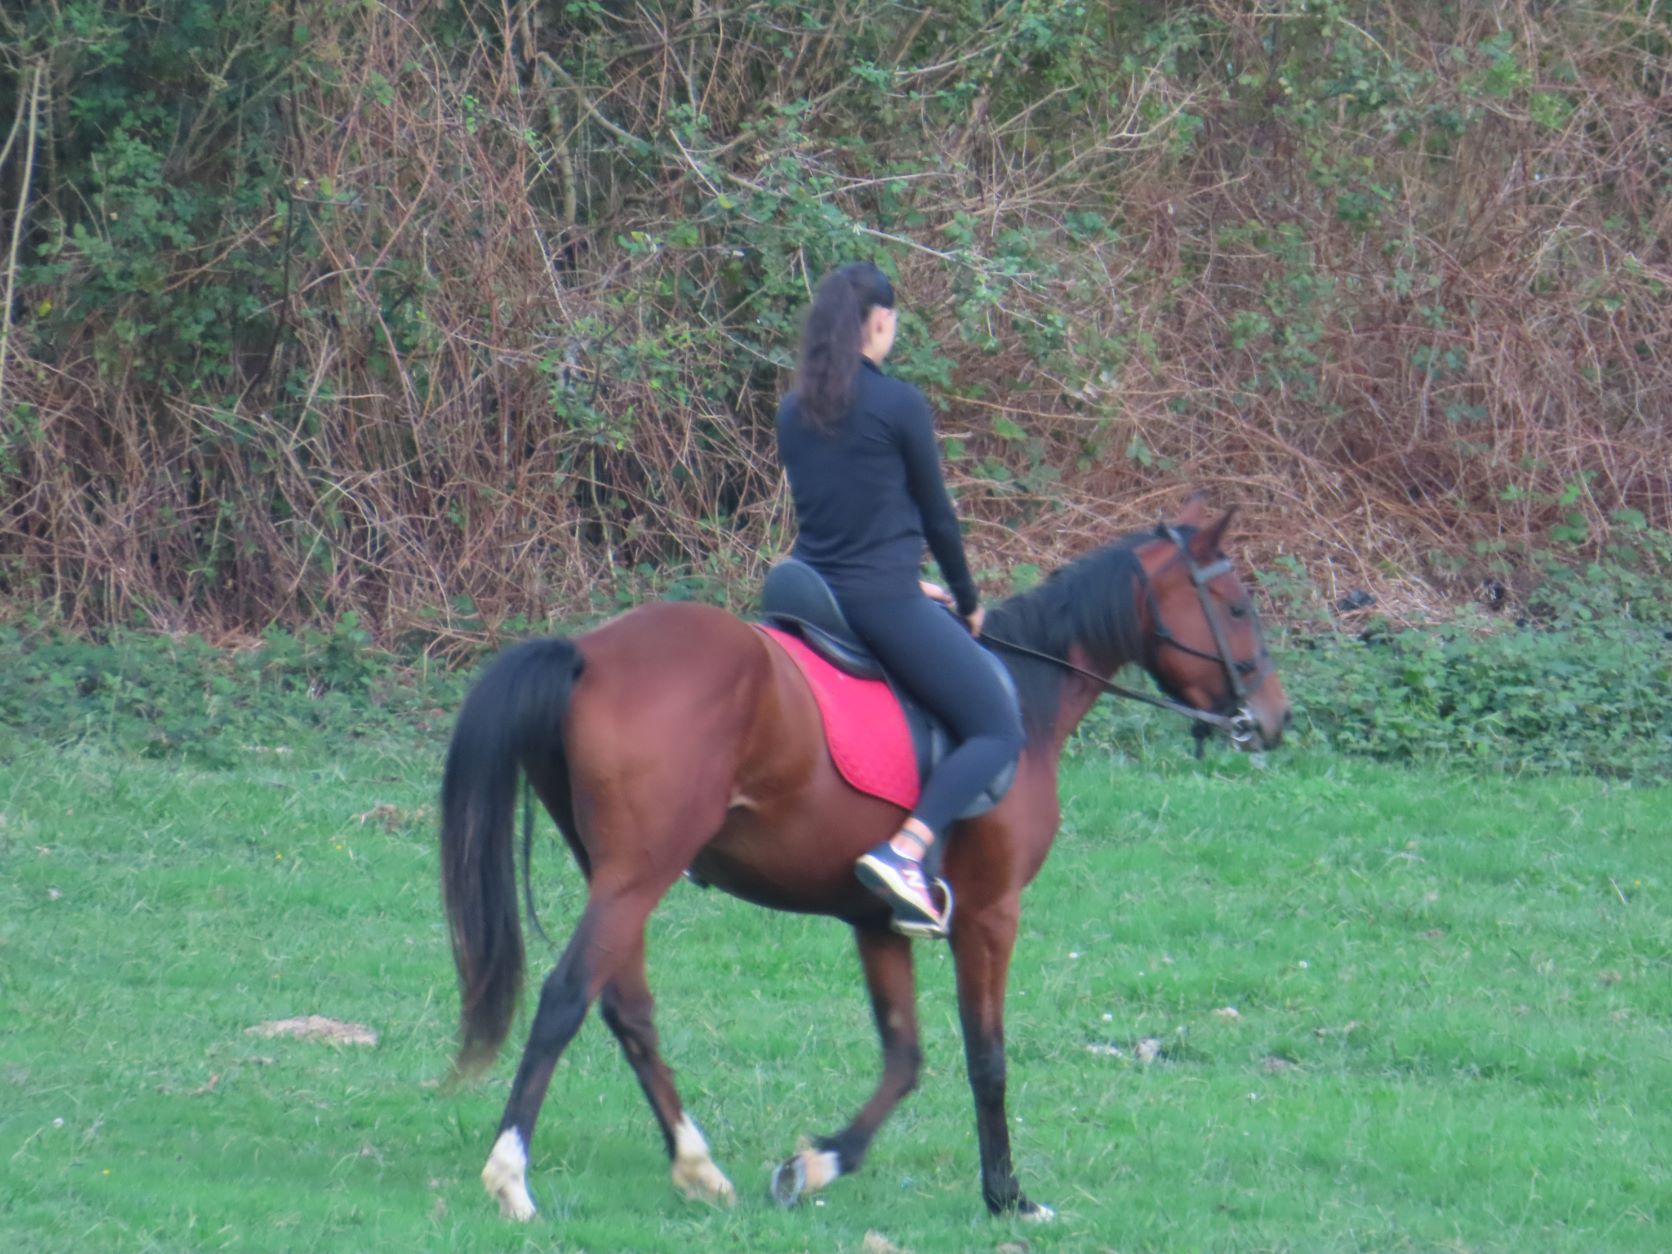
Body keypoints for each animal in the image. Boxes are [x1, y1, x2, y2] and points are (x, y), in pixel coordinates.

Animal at [438, 498, 1291, 1223]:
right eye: (1237, 609)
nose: (1274, 718)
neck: (1027, 690)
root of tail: (586, 652)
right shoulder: (990, 913)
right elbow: (987, 1056)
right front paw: (1006, 1196)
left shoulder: (877, 921)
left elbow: (904, 1056)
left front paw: (817, 1163)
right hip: (637, 874)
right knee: (565, 997)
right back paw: (511, 1177)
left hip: (618, 877)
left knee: (626, 1008)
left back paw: (696, 1167)